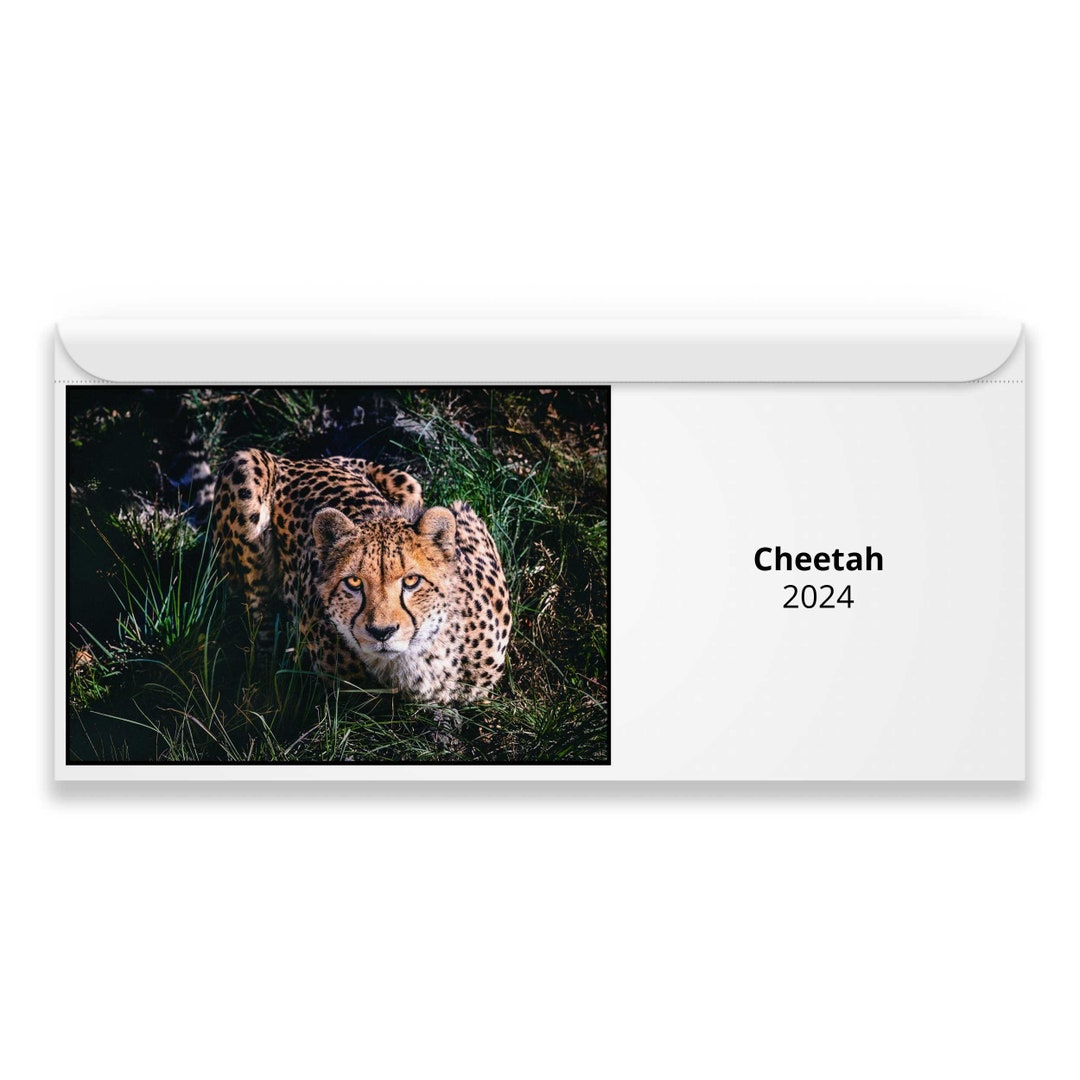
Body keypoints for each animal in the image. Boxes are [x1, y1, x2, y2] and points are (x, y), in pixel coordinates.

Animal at [210, 448, 512, 704]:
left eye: (411, 581)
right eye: (354, 582)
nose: (382, 632)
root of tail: (296, 460)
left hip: (410, 483)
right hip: (245, 468)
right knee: (256, 612)